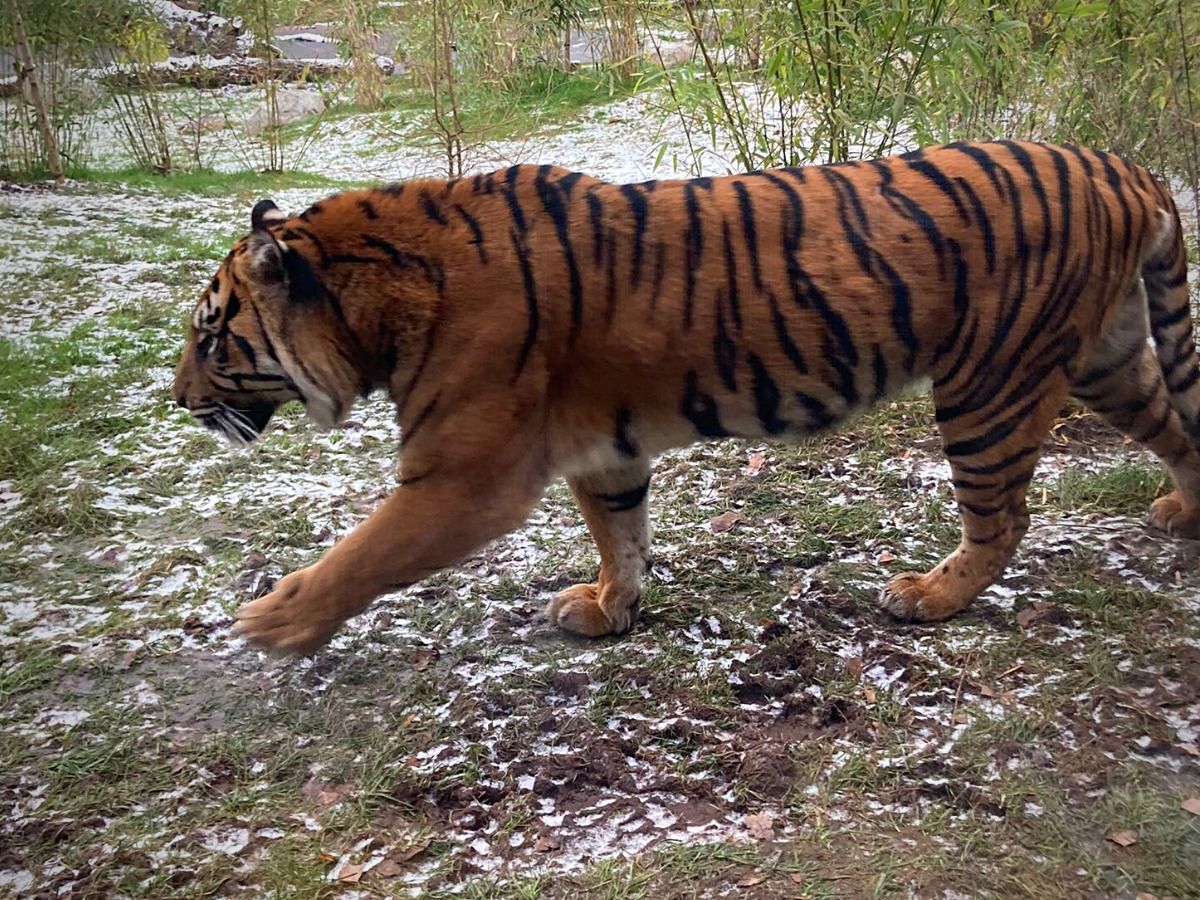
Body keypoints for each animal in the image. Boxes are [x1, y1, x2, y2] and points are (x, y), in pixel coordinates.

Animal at [172, 140, 1200, 656]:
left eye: (211, 337)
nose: (179, 400)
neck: (379, 296)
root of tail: (1124, 167)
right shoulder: (603, 449)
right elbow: (620, 534)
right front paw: (609, 610)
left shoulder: (463, 480)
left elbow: (360, 556)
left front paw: (272, 622)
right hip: (1109, 359)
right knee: (1181, 427)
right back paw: (1183, 514)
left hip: (989, 383)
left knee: (1005, 518)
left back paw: (927, 596)